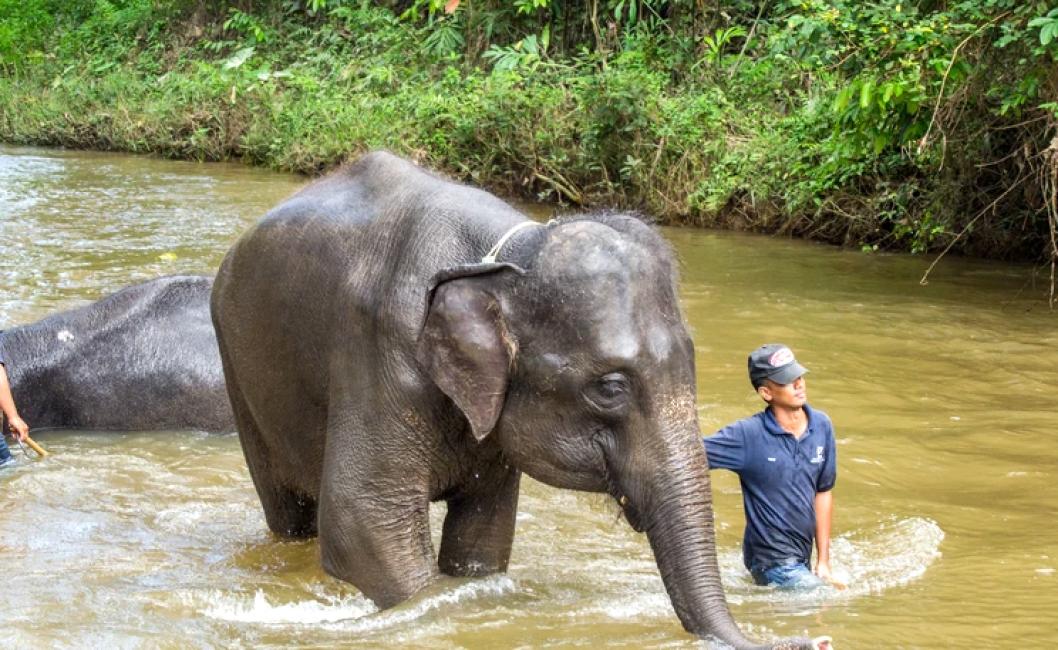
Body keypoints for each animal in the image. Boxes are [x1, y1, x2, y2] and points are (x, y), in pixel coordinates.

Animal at [211, 151, 821, 649]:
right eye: (610, 387)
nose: (804, 641)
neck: (506, 257)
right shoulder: (379, 357)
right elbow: (363, 521)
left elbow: (483, 536)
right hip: (239, 371)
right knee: (291, 516)